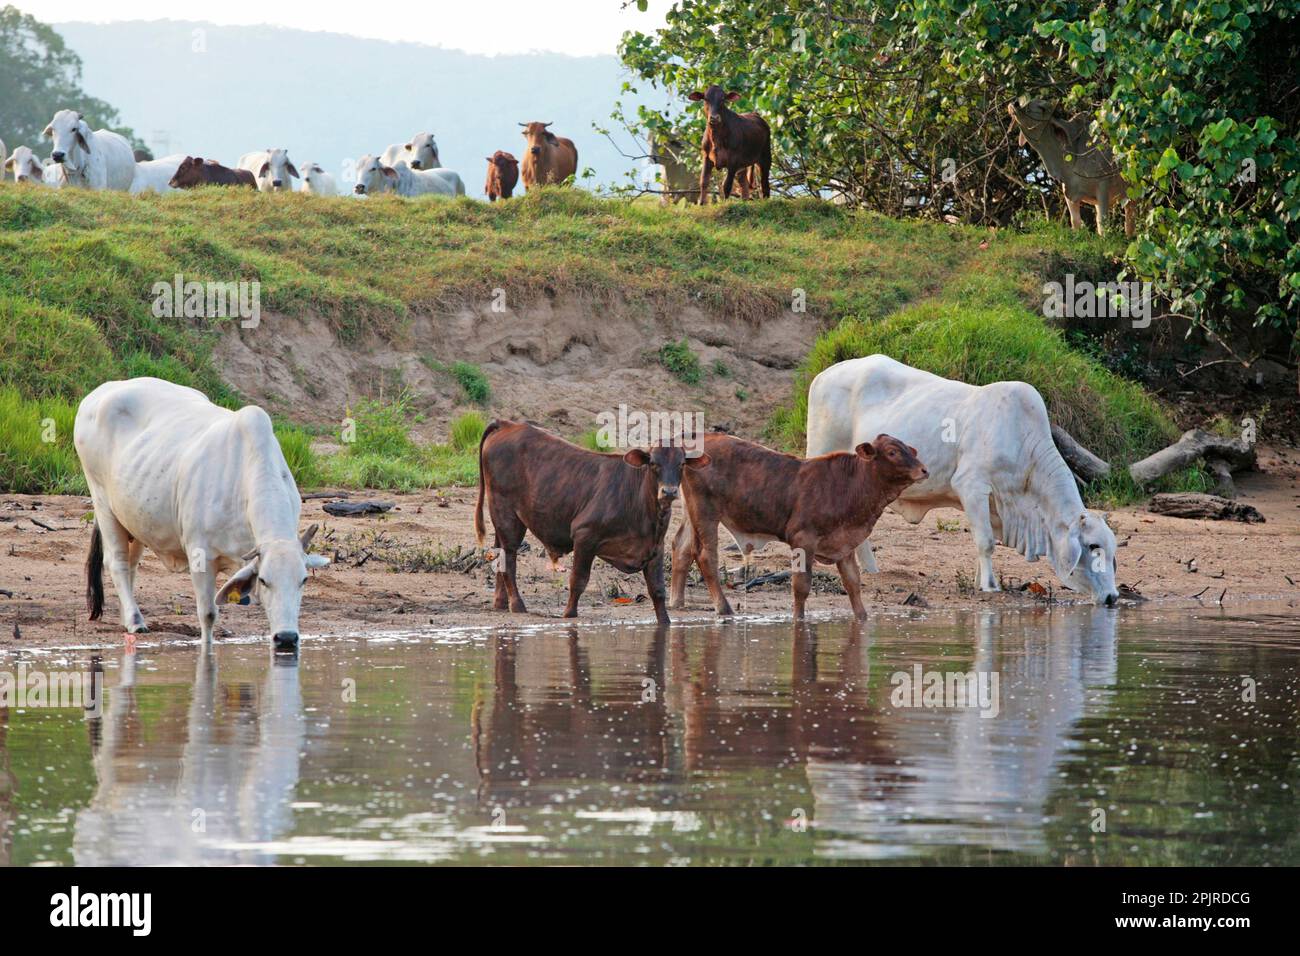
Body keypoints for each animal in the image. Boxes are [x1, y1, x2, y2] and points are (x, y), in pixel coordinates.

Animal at [74, 378, 330, 649]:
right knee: (117, 563)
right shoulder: (200, 556)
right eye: (263, 580)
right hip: (103, 503)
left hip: (135, 518)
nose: (287, 638)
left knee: (131, 565)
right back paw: (135, 620)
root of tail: (103, 389)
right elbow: (207, 614)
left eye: (304, 580)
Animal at [474, 420, 708, 625]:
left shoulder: (655, 547)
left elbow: (658, 590)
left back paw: (500, 602)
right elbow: (578, 580)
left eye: (681, 464)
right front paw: (569, 614)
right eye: (653, 463)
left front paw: (665, 620)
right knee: (509, 555)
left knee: (500, 552)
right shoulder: (584, 535)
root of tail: (509, 424)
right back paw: (516, 604)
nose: (669, 491)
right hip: (505, 512)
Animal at [669, 433, 926, 620]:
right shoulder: (803, 539)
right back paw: (723, 608)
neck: (851, 484)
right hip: (705, 512)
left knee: (681, 548)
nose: (924, 470)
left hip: (691, 513)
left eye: (911, 449)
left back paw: (676, 601)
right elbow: (801, 586)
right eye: (892, 452)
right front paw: (798, 619)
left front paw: (862, 617)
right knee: (705, 556)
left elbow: (853, 583)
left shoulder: (845, 544)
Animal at [805, 354, 1120, 606]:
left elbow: (985, 543)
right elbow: (986, 543)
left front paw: (979, 581)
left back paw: (870, 569)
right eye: (1093, 546)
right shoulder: (971, 486)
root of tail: (824, 374)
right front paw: (990, 586)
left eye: (1113, 548)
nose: (1112, 597)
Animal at [1008, 98, 1136, 237]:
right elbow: (1075, 222)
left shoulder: (1103, 186)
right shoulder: (1069, 193)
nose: (1015, 104)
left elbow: (1103, 223)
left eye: (1042, 108)